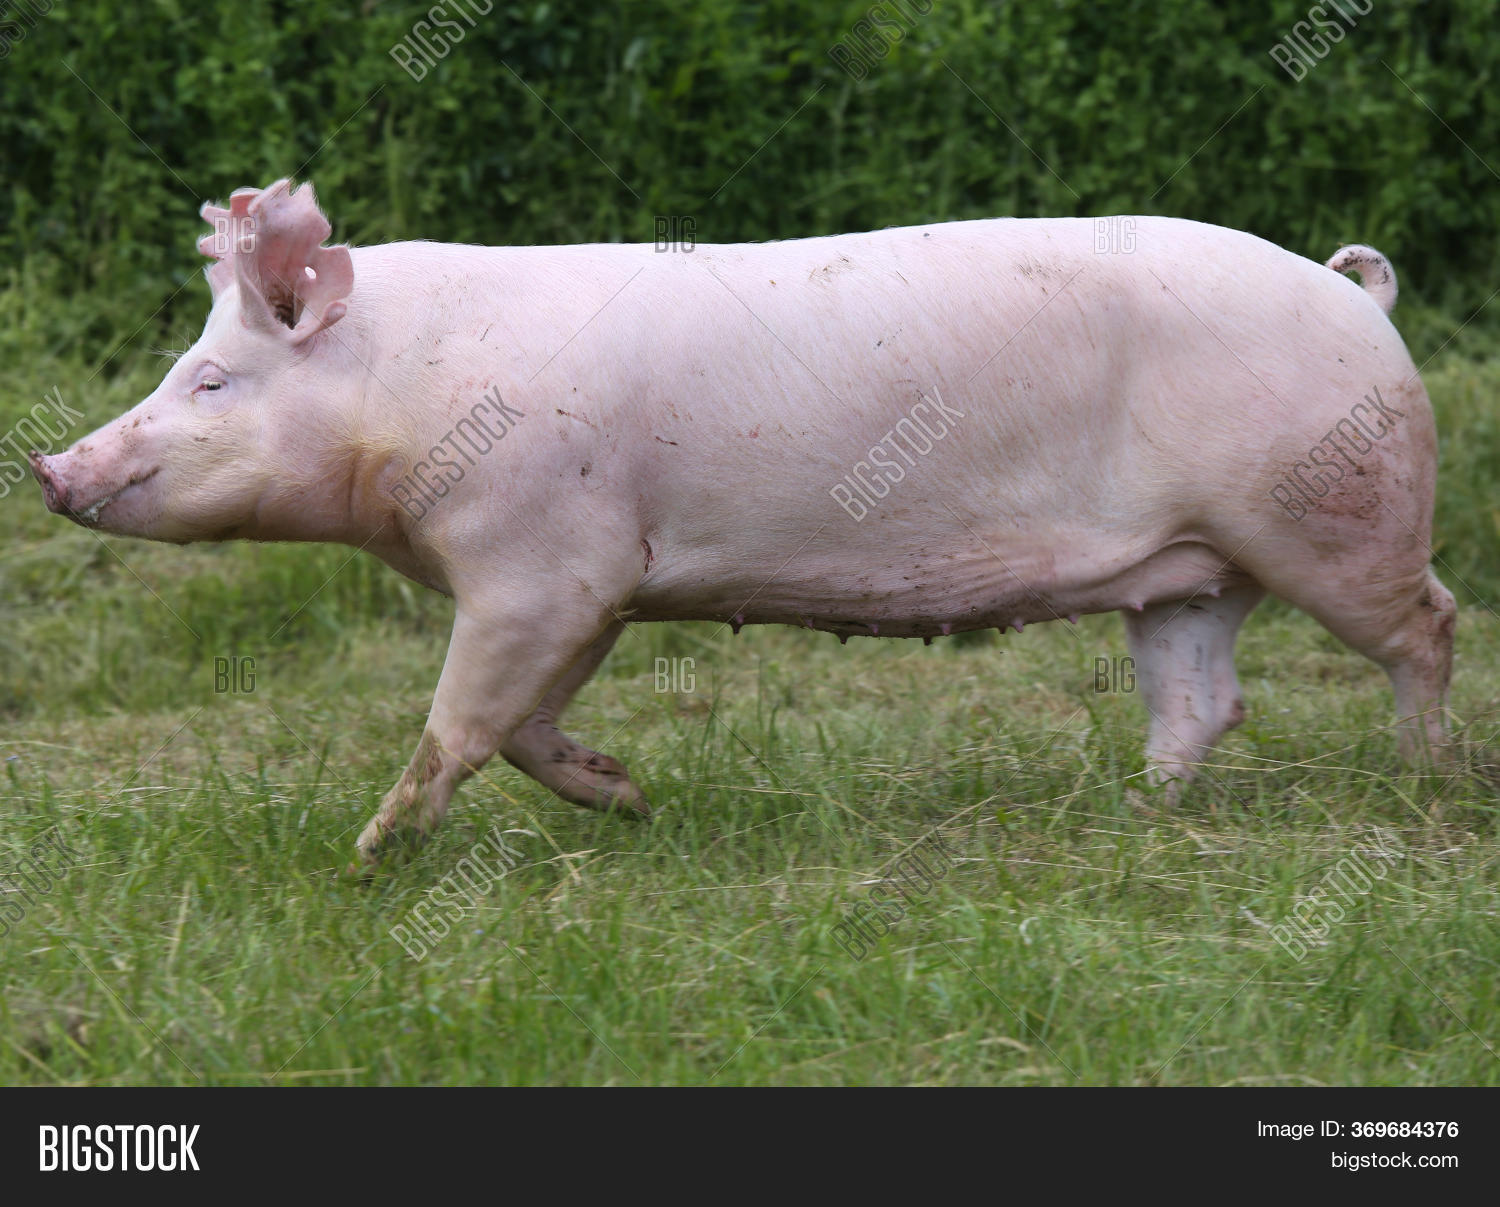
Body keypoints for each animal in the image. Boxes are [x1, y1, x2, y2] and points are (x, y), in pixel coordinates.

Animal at [30, 179, 1455, 871]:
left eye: (212, 382)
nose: (47, 465)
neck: (403, 398)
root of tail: (1359, 297)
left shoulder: (540, 567)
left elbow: (461, 726)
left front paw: (365, 859)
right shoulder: (597, 581)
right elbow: (528, 724)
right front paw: (633, 797)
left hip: (1333, 518)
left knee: (1428, 625)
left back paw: (1431, 784)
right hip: (1192, 570)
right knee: (1204, 700)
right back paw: (1125, 811)